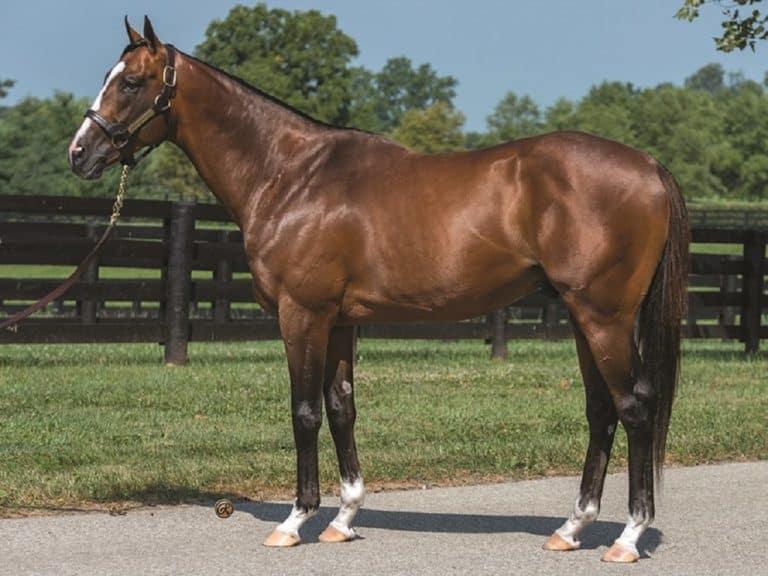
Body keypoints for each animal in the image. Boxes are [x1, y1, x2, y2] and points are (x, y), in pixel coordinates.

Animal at [68, 17, 688, 563]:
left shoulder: (302, 314)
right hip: (586, 317)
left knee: (635, 407)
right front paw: (343, 519)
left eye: (130, 82)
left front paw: (294, 521)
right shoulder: (341, 320)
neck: (291, 174)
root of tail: (649, 165)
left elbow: (304, 412)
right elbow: (342, 407)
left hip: (604, 316)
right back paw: (570, 528)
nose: (79, 153)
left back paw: (627, 537)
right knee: (601, 410)